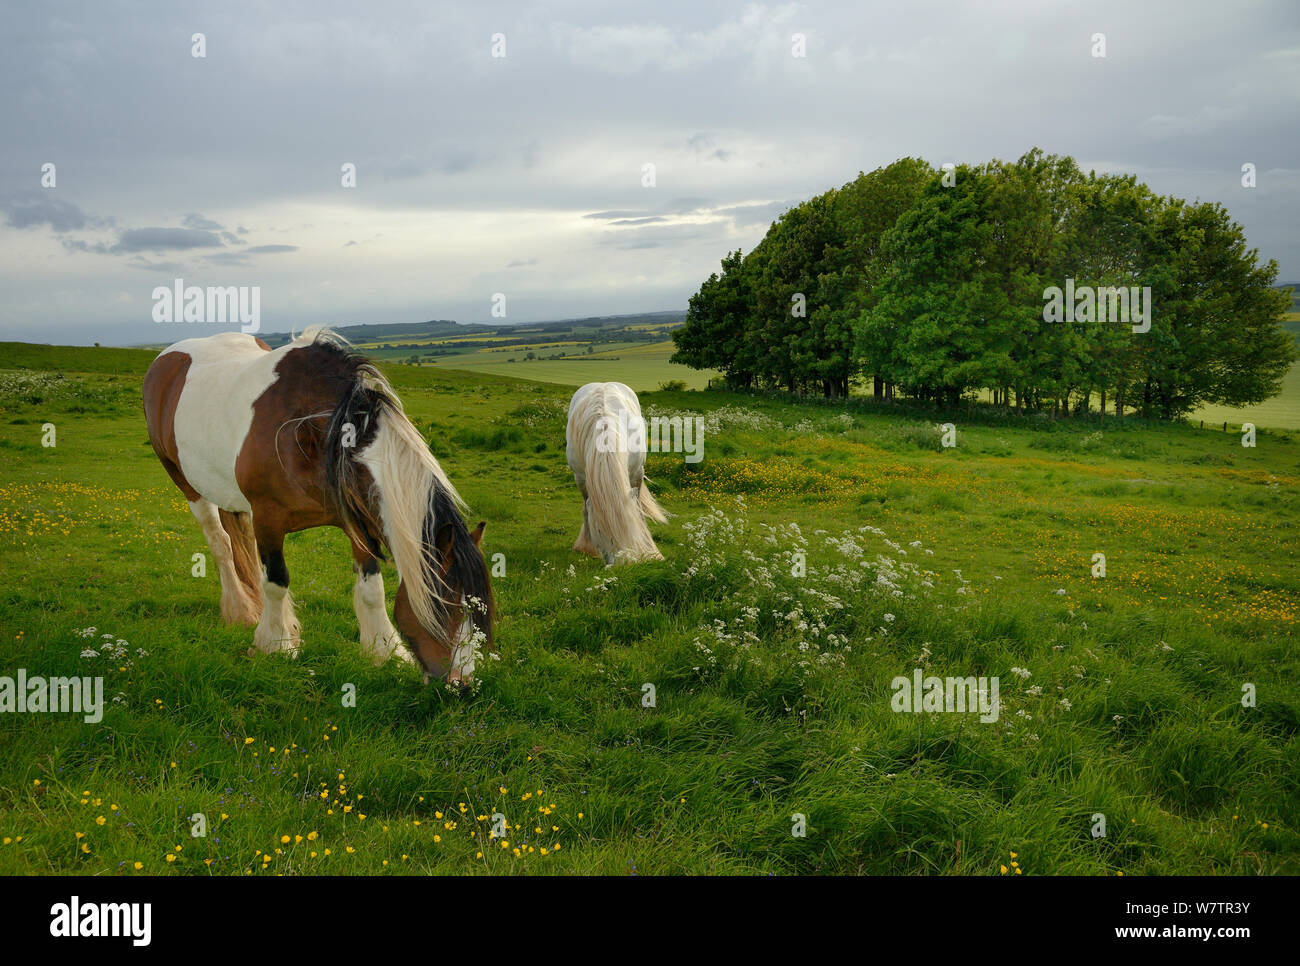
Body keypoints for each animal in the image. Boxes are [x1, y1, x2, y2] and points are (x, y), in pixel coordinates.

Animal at [141, 328, 494, 687]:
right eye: (446, 606)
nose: (462, 684)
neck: (313, 429)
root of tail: (167, 357)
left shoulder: (358, 523)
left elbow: (372, 588)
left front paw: (385, 652)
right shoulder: (268, 519)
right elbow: (276, 582)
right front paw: (276, 645)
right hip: (187, 485)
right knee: (221, 545)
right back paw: (240, 610)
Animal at [565, 381, 667, 564]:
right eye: (600, 531)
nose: (618, 563)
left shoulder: (637, 473)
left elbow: (638, 510)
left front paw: (650, 550)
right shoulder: (580, 478)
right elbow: (585, 510)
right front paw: (586, 547)